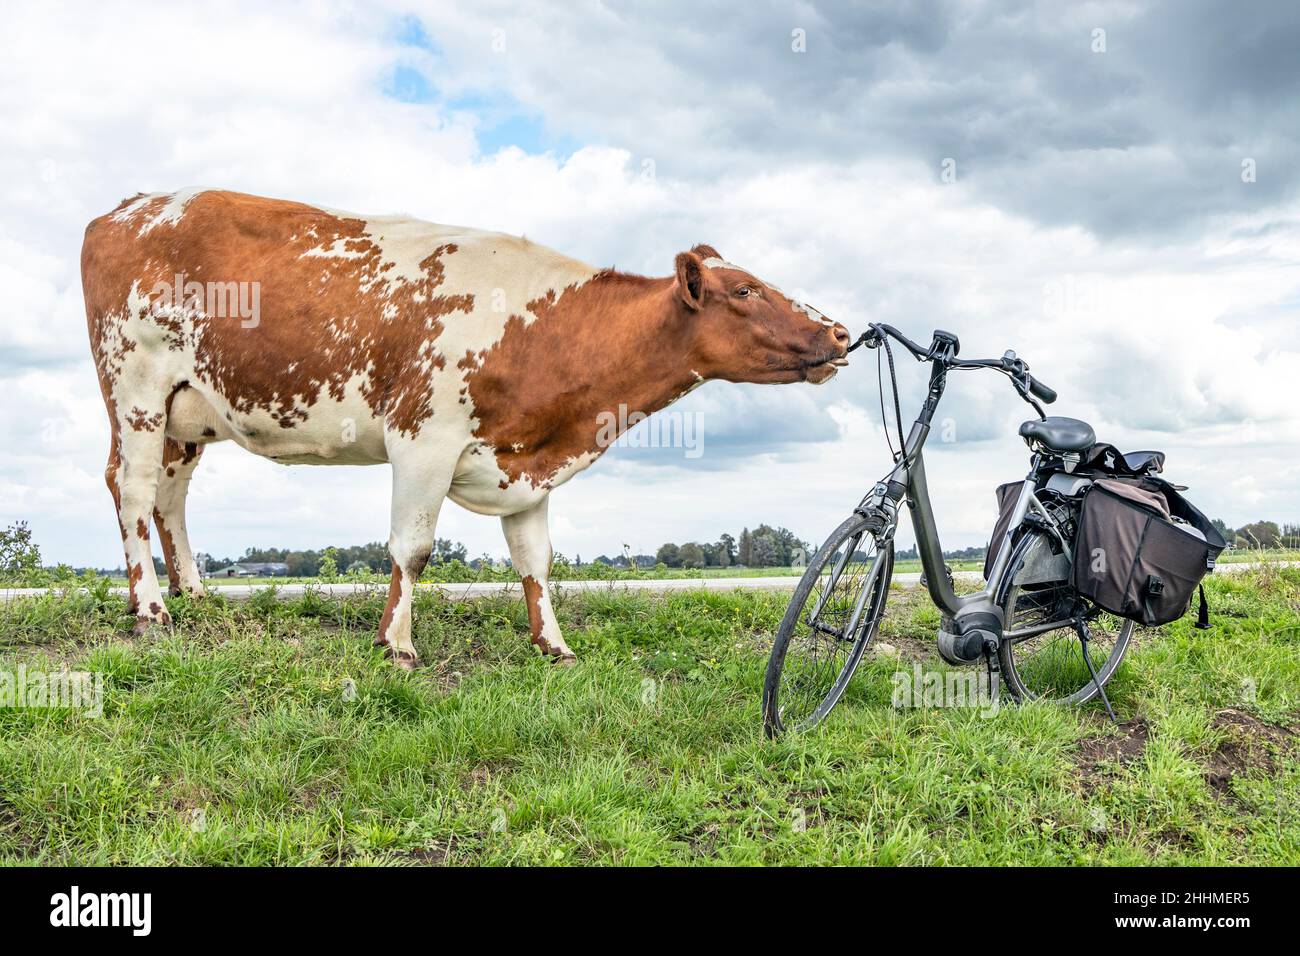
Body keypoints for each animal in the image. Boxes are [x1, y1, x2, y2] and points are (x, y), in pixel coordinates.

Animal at [81, 189, 850, 666]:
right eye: (746, 290)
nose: (841, 331)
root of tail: (127, 210)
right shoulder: (423, 438)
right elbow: (412, 549)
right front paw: (396, 644)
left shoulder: (526, 462)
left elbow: (536, 561)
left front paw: (553, 646)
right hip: (136, 388)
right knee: (132, 488)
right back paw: (150, 608)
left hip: (187, 413)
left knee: (170, 495)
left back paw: (194, 594)